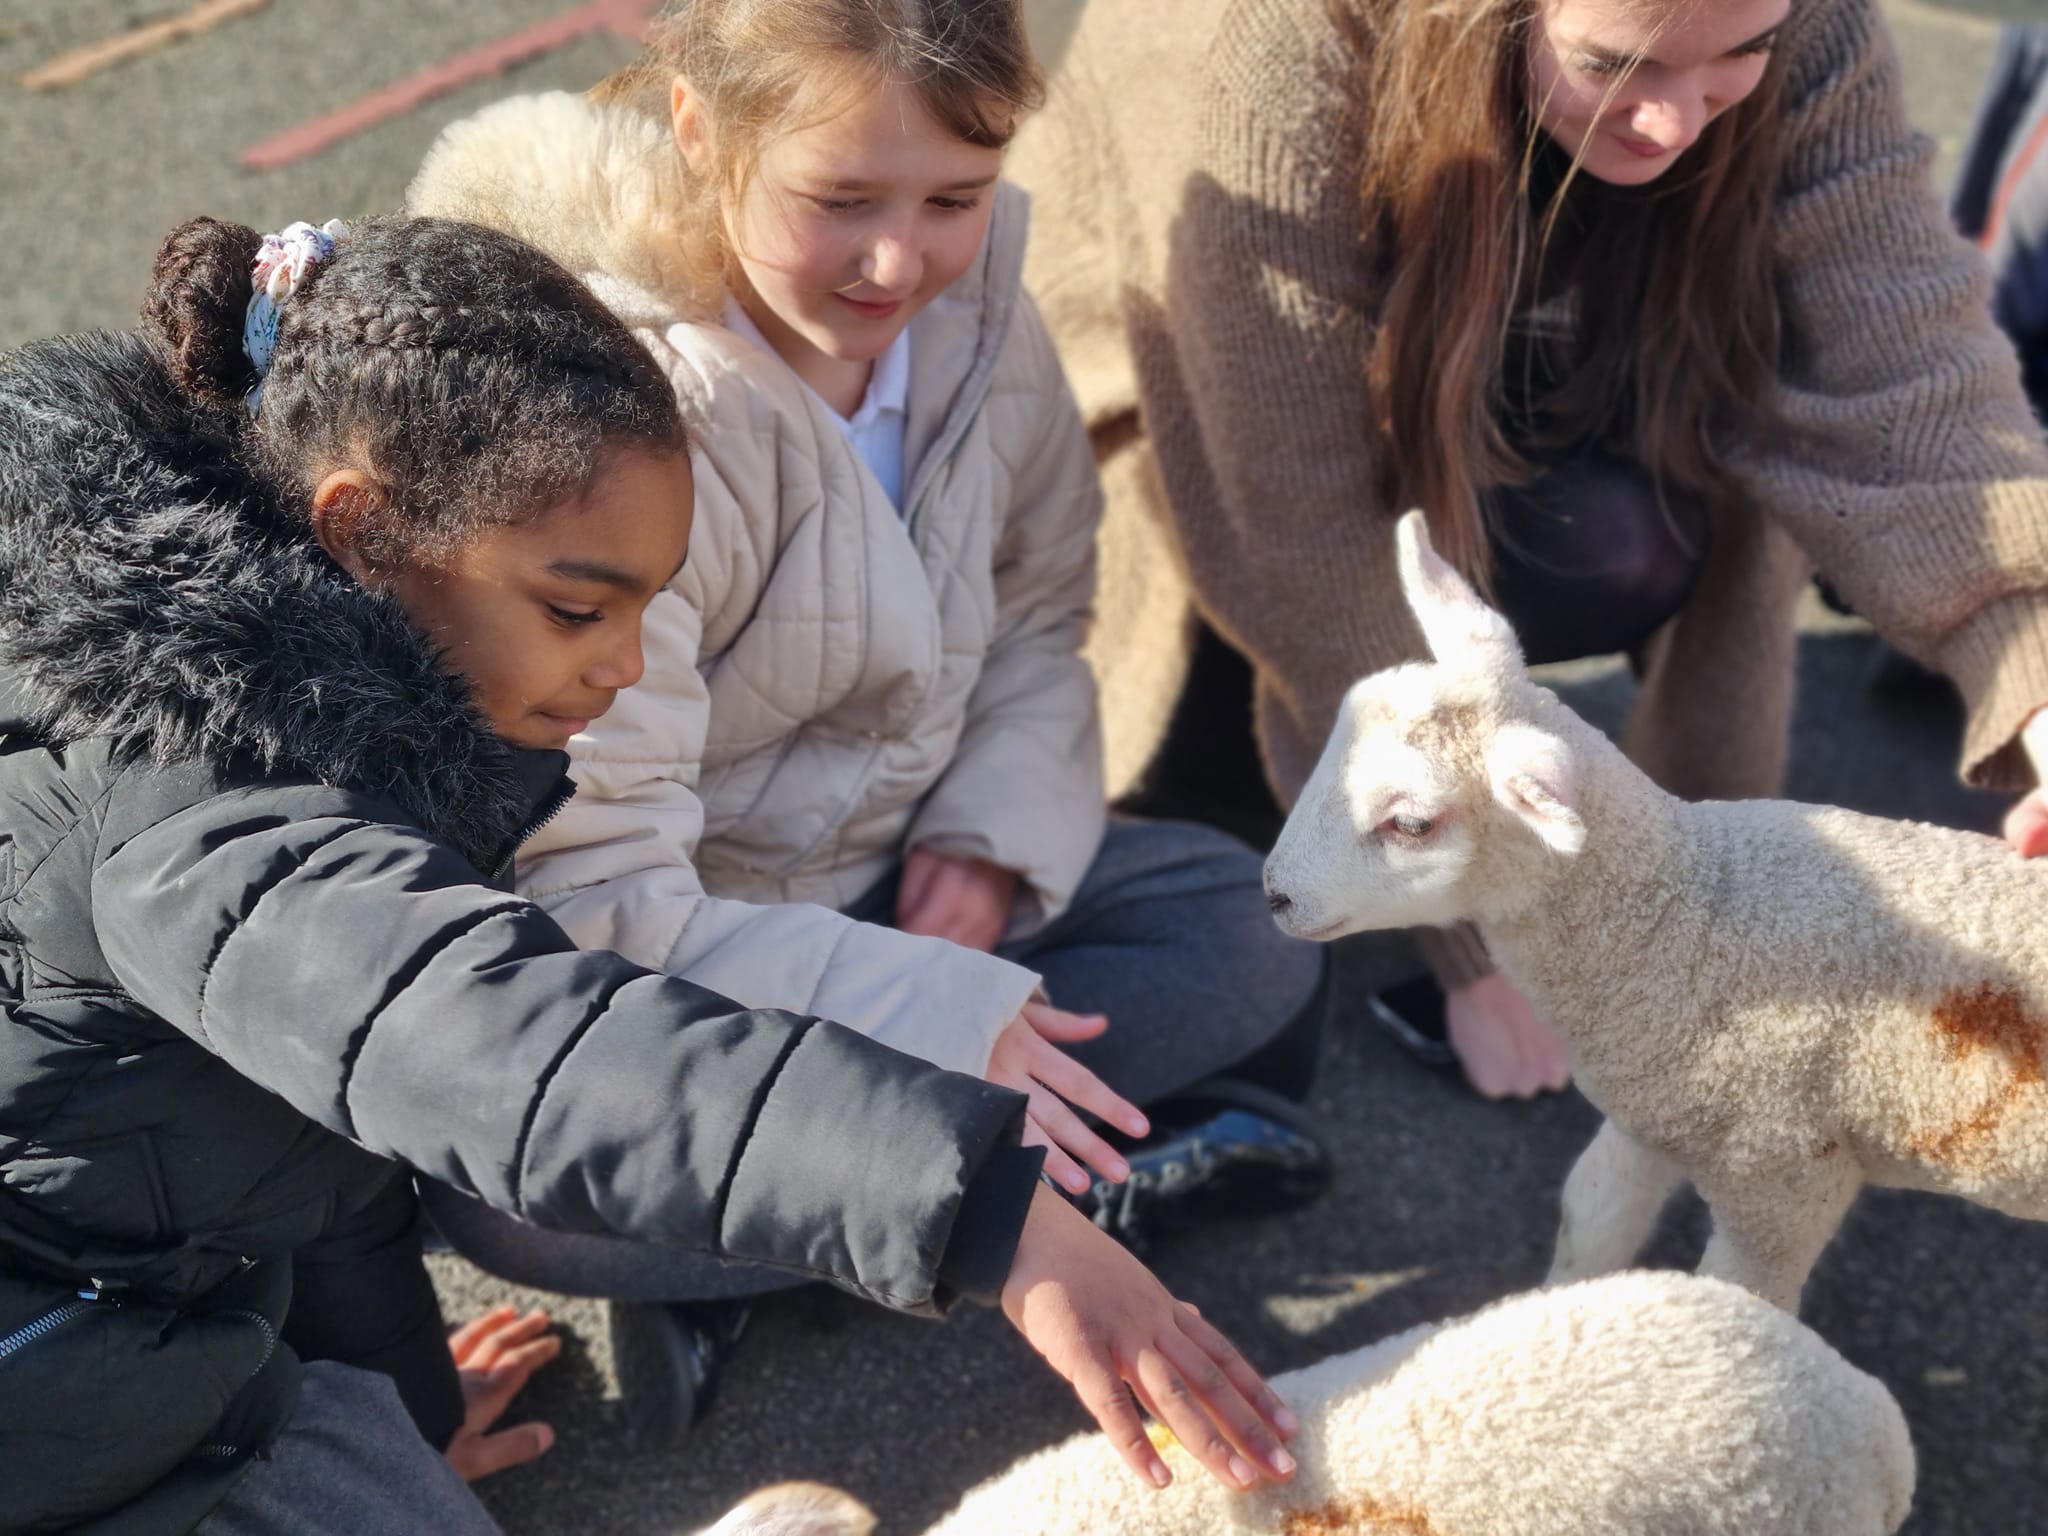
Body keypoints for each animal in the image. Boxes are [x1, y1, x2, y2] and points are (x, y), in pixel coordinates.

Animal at [1262, 510, 2048, 1315]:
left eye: (1412, 824)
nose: (1275, 893)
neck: (1682, 920)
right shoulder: (1652, 1115)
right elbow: (1588, 1216)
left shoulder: (1783, 1180)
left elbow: (1741, 1299)